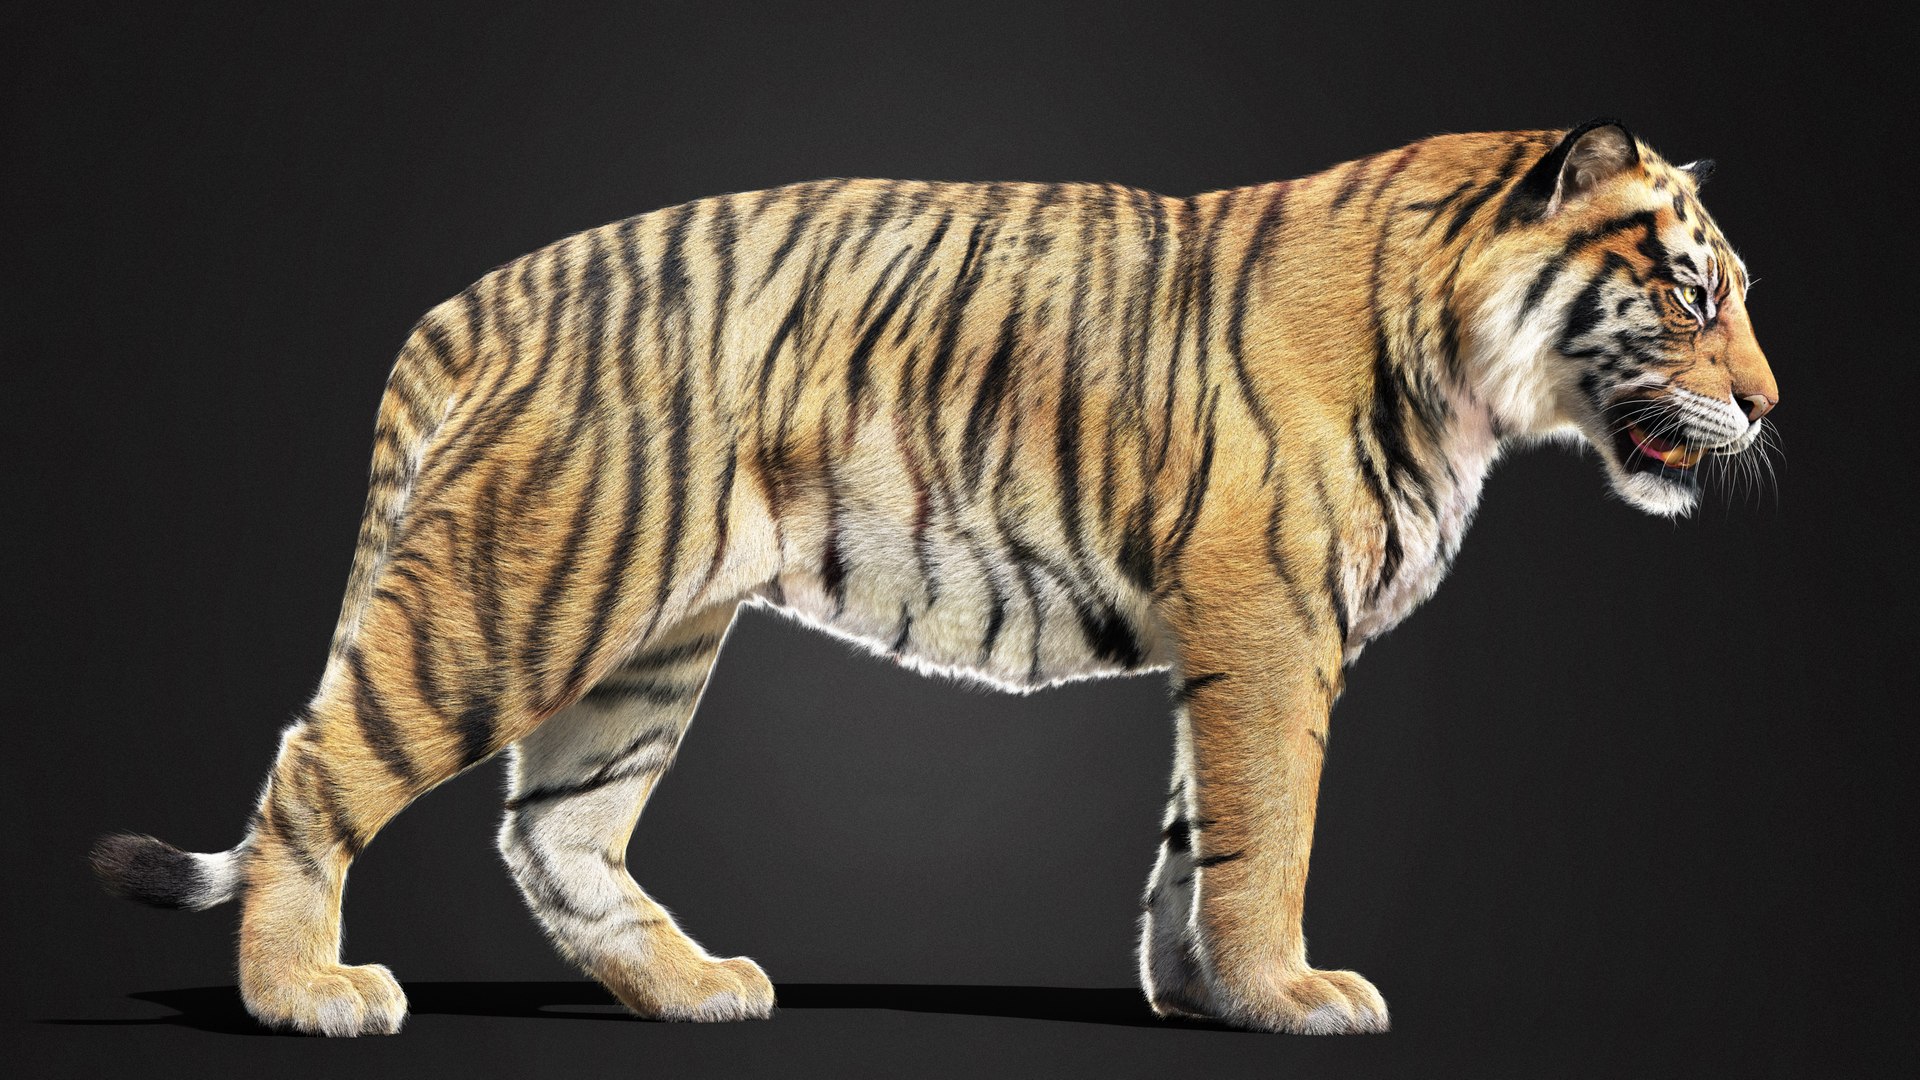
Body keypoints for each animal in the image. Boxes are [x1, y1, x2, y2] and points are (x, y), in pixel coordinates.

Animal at [92, 119, 1778, 1036]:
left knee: (554, 832)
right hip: (520, 594)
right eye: (1694, 297)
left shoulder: (1231, 636)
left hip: (650, 637)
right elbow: (1266, 836)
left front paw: (1192, 993)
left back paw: (695, 985)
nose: (1771, 408)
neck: (1468, 371)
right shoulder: (1273, 624)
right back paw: (307, 993)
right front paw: (1286, 994)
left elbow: (1194, 836)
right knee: (317, 767)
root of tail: (478, 297)